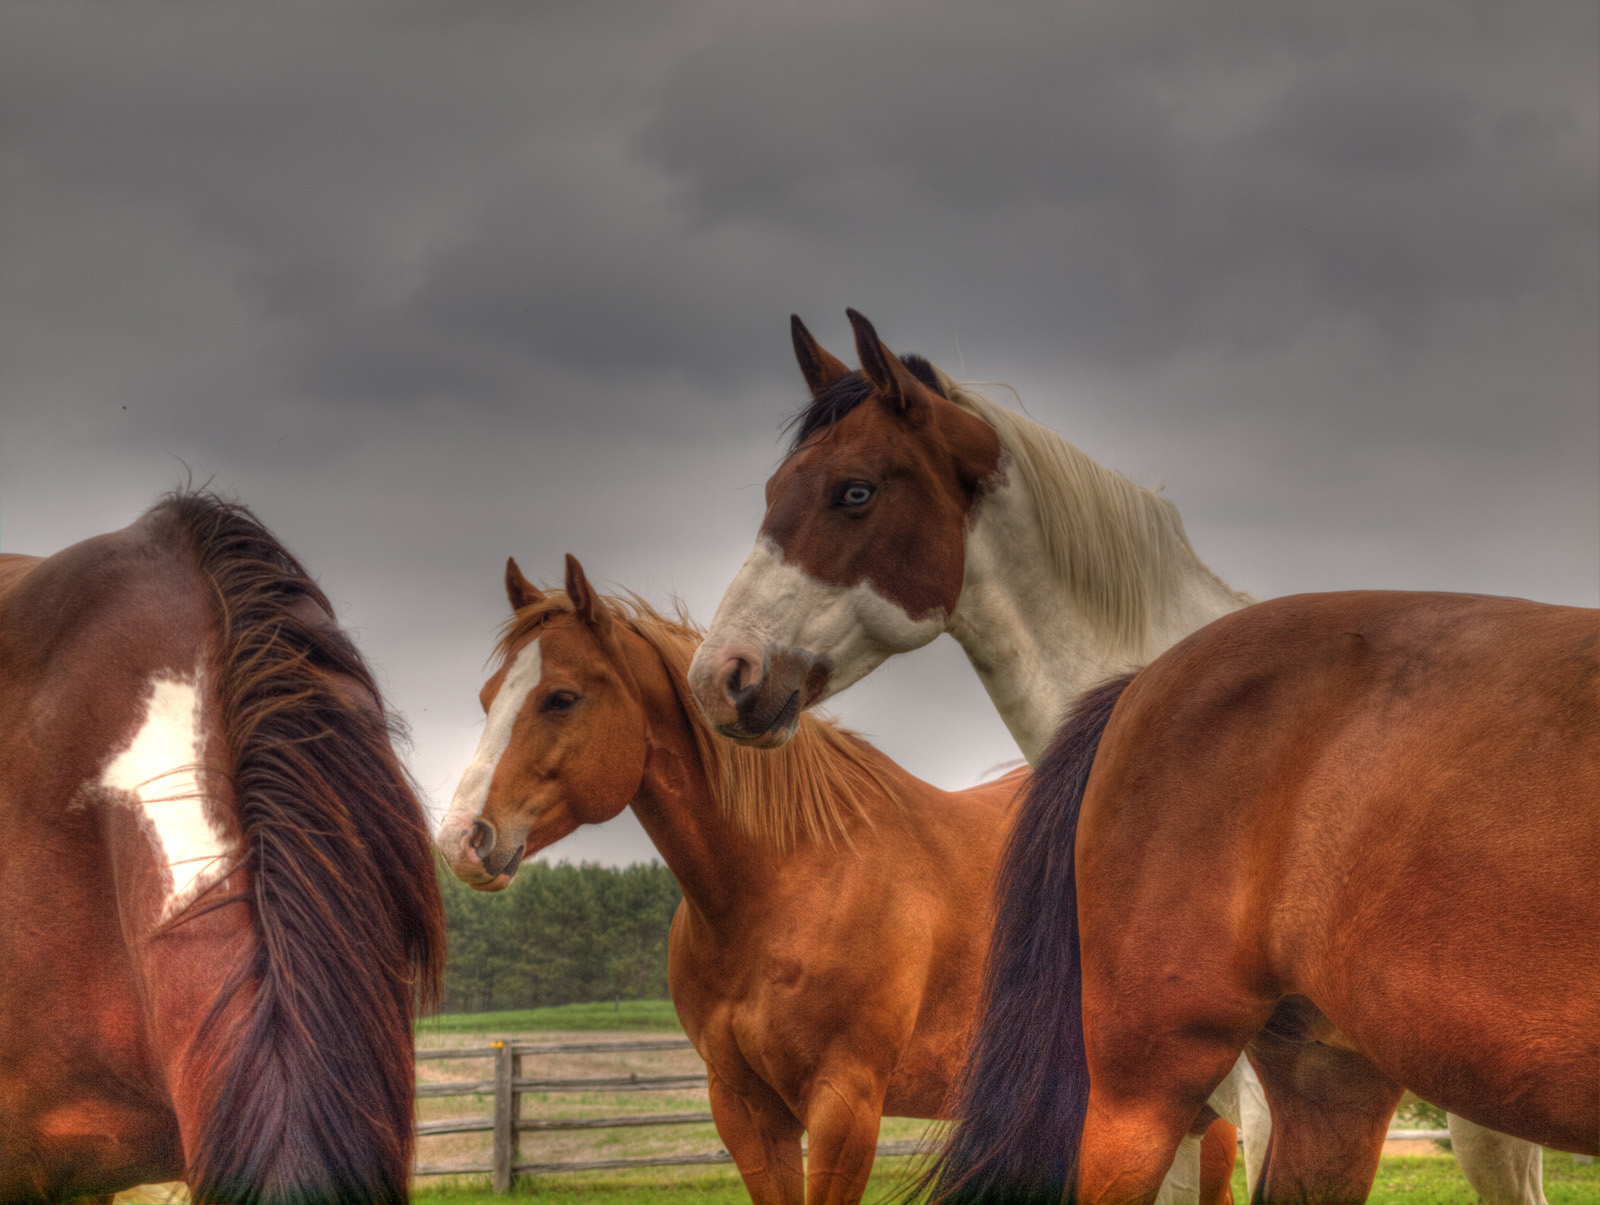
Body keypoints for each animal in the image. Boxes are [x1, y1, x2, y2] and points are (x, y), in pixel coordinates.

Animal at [432, 554, 1242, 1205]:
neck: (790, 884)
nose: (463, 839)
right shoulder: (745, 1108)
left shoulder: (846, 1105)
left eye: (561, 696)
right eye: (487, 698)